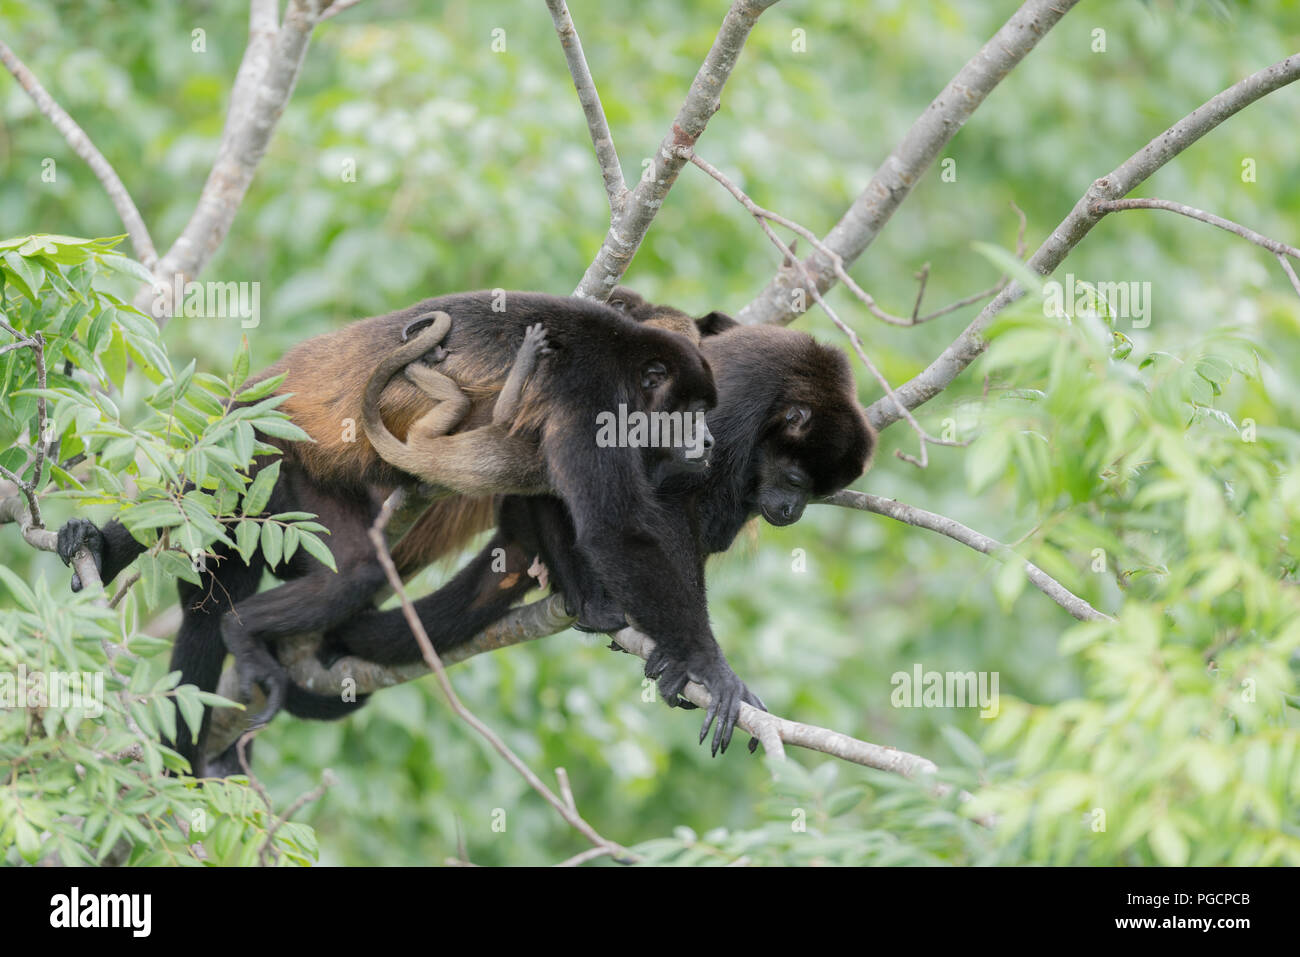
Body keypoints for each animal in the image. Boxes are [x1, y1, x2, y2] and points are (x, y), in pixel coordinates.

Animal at [58, 291, 720, 775]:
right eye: (689, 412)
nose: (709, 441)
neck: (629, 368)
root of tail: (255, 388)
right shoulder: (593, 402)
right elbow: (614, 529)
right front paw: (707, 667)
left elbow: (552, 500)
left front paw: (593, 604)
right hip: (256, 442)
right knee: (283, 544)